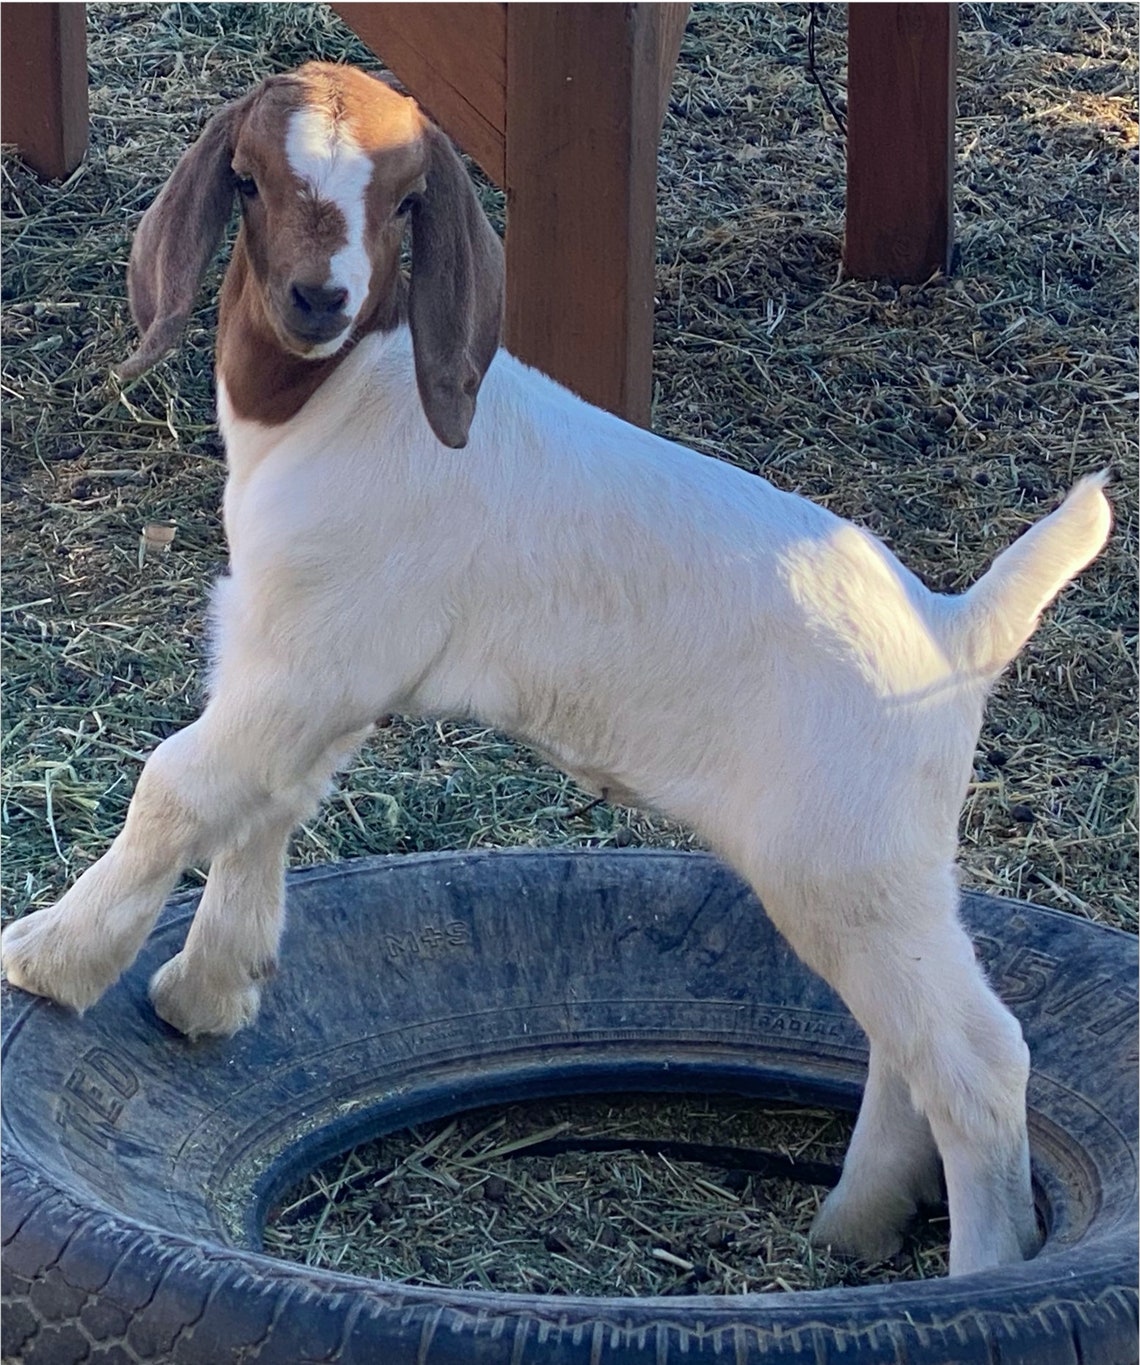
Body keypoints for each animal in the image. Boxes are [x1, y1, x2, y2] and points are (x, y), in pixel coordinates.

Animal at [1, 62, 1111, 1279]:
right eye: (248, 178)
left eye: (404, 201)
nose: (319, 300)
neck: (341, 404)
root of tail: (953, 631)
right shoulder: (309, 667)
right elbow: (266, 799)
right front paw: (210, 992)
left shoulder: (307, 659)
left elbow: (179, 785)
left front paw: (52, 956)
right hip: (884, 874)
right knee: (902, 1038)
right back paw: (854, 1225)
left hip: (845, 860)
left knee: (975, 1056)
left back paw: (980, 1271)